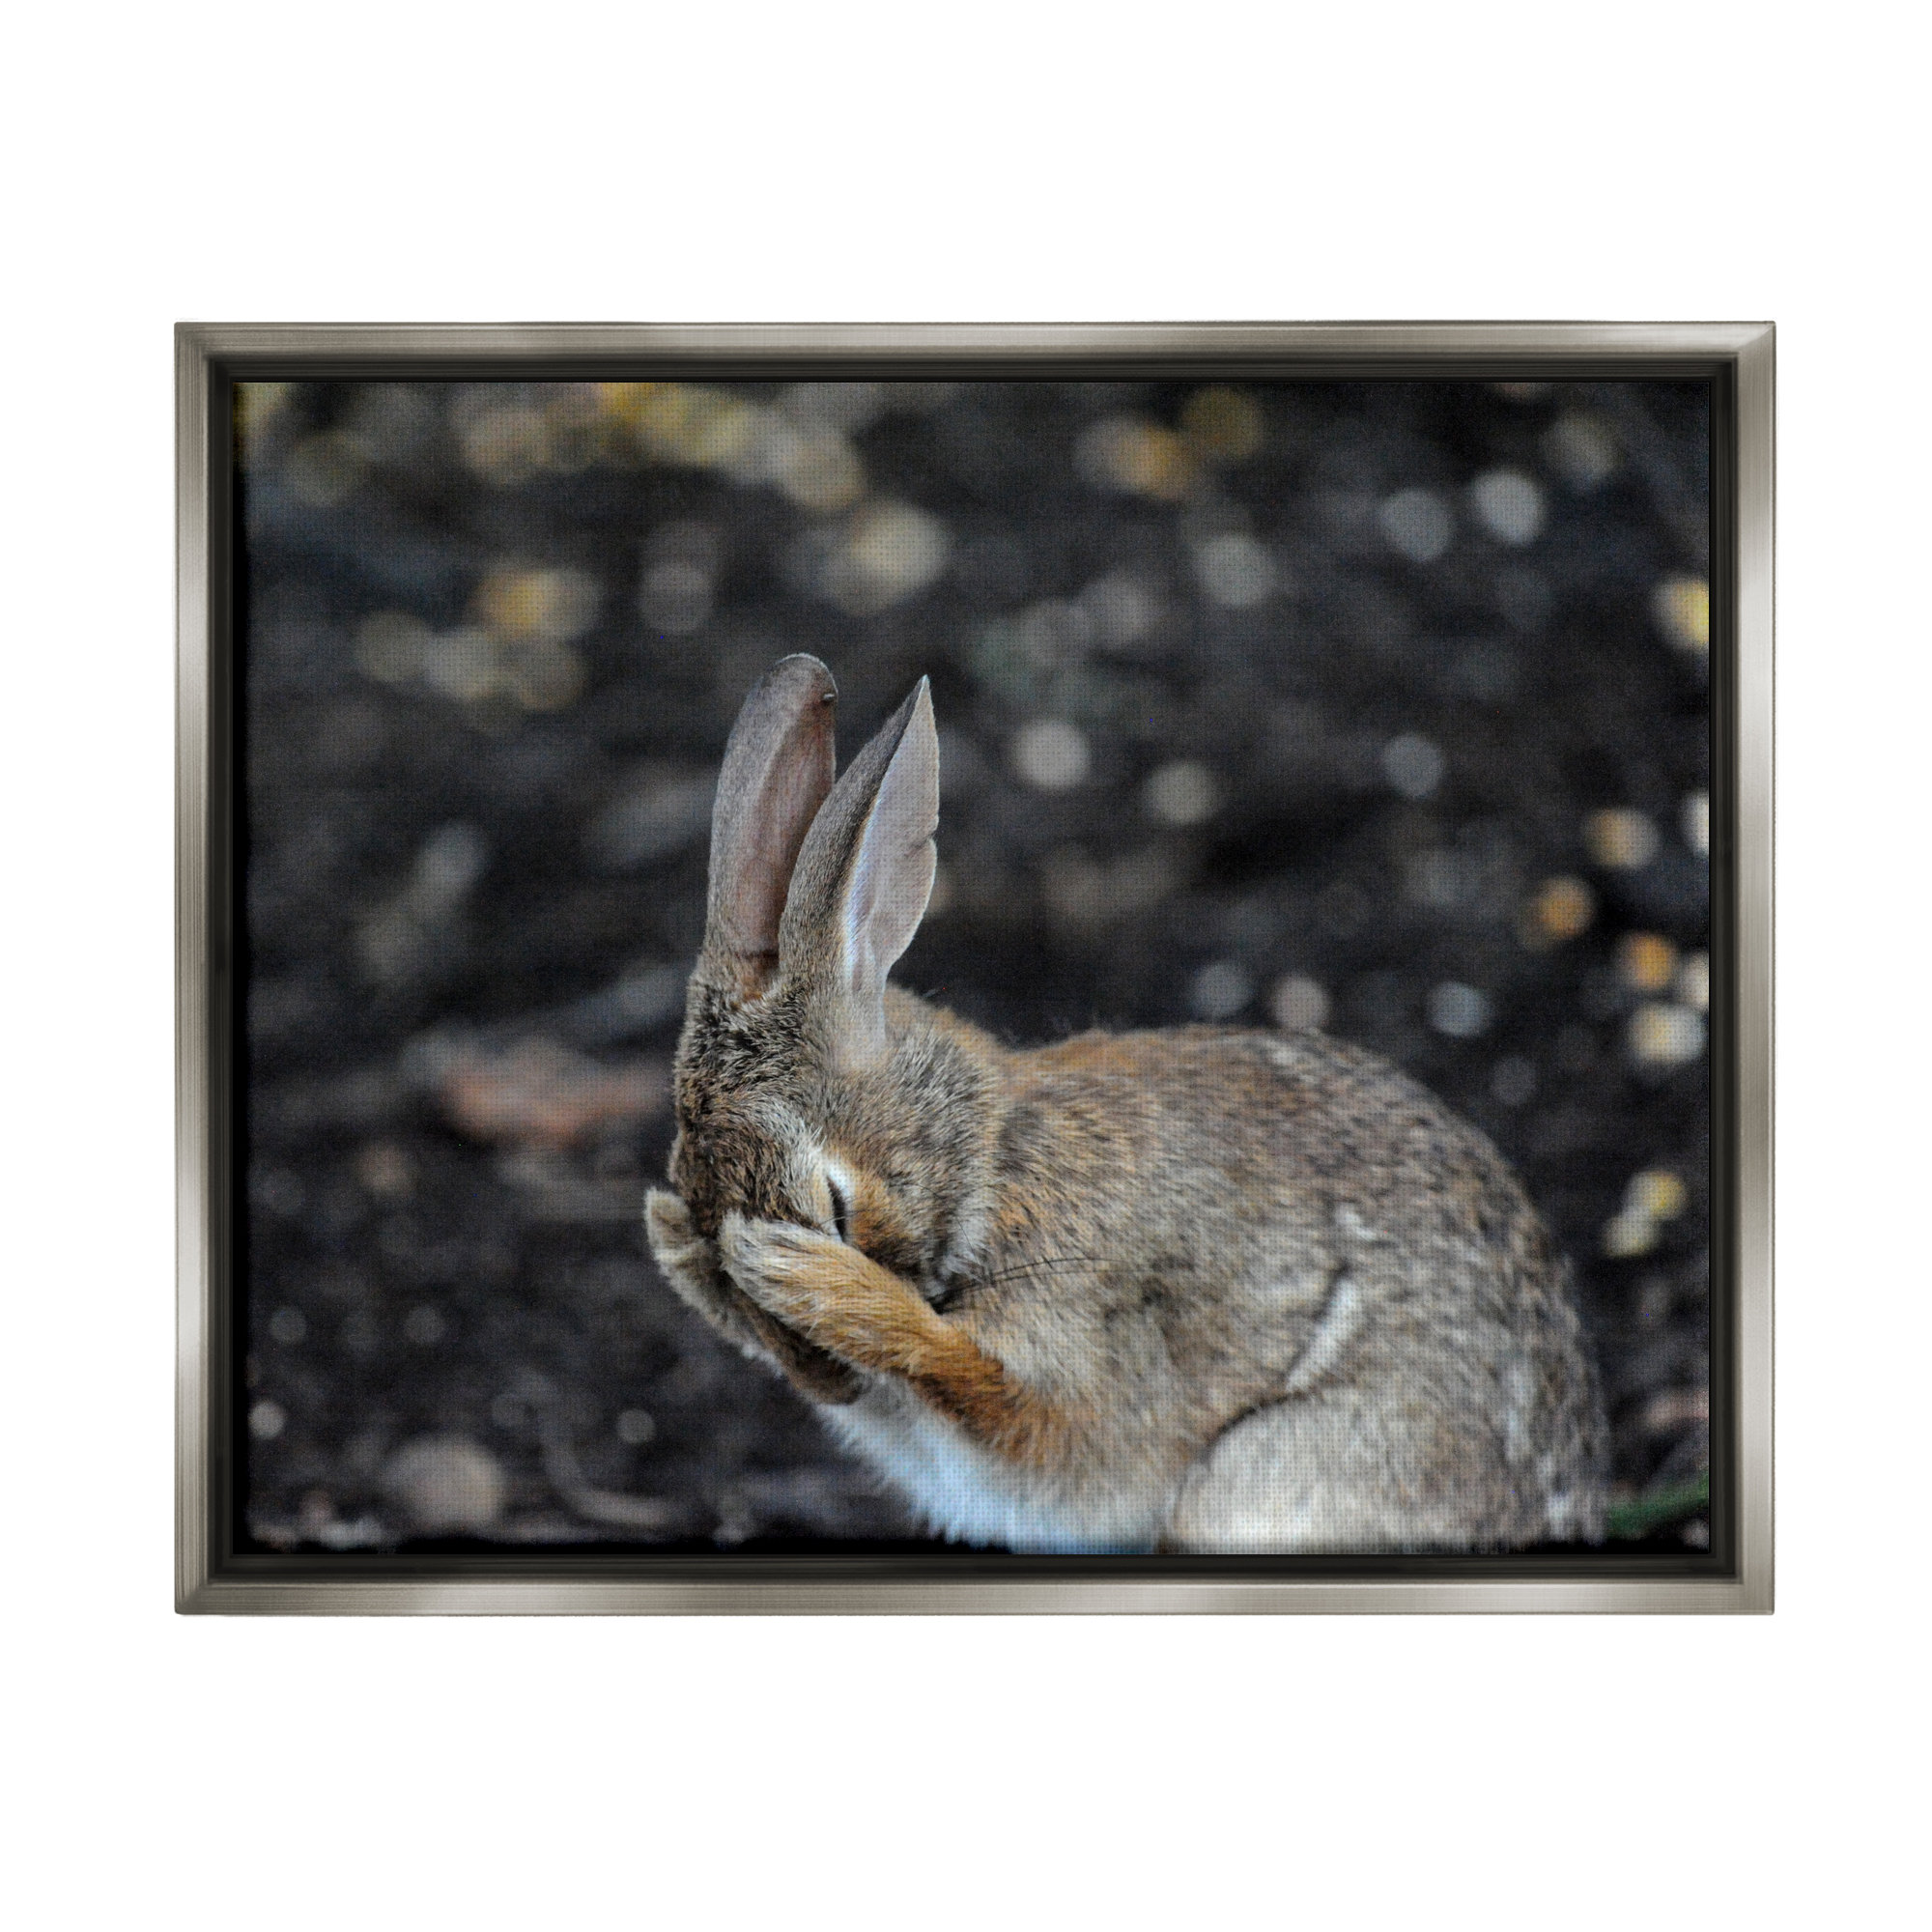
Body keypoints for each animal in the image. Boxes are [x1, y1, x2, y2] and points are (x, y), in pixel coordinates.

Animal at [645, 654, 1607, 1554]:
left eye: (833, 1205)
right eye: (711, 1260)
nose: (831, 1383)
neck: (989, 1160)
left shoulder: (1081, 1355)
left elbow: (992, 1389)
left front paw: (811, 1279)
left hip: (1260, 1481)